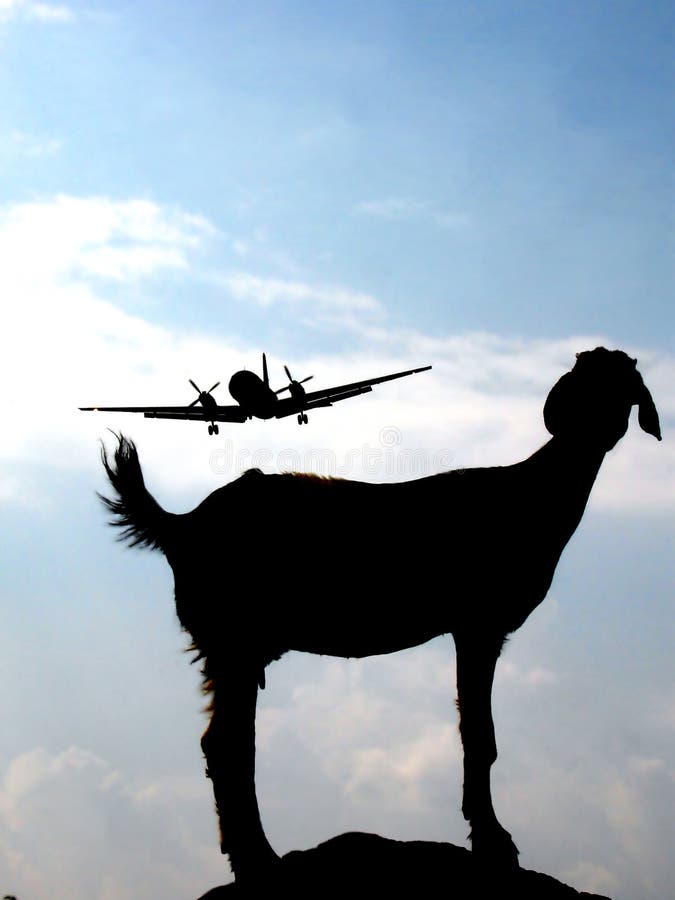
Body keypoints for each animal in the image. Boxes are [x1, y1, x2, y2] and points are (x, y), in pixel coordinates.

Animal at [100, 347, 661, 881]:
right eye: (583, 378)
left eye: (623, 381)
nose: (598, 427)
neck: (532, 495)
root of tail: (179, 525)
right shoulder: (478, 624)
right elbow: (480, 734)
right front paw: (494, 841)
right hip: (233, 637)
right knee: (227, 746)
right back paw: (258, 857)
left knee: (231, 743)